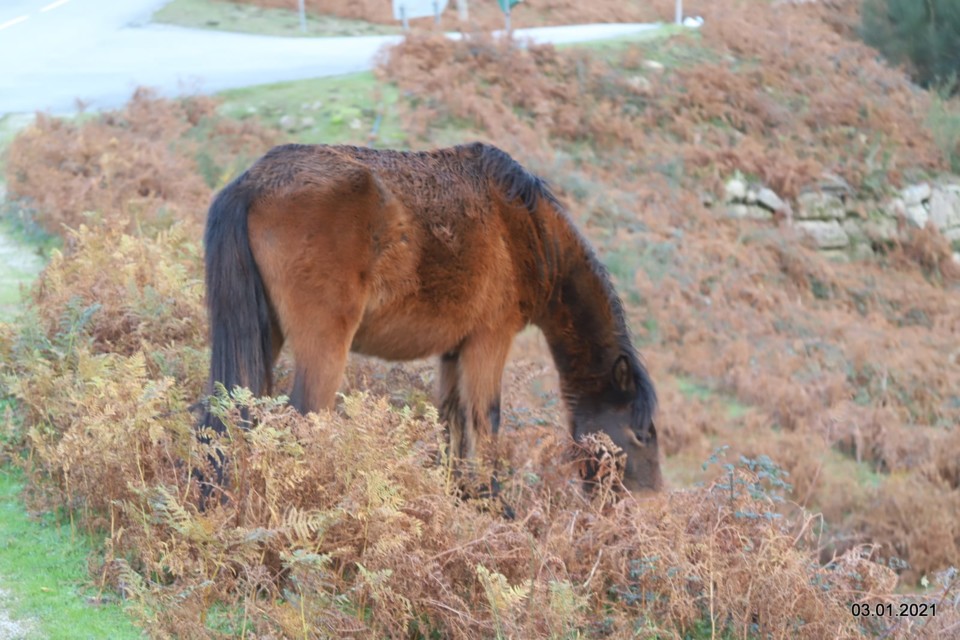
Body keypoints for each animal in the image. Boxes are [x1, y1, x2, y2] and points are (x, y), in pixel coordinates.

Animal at [199, 141, 662, 503]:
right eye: (639, 434)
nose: (648, 499)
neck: (524, 226)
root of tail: (253, 183)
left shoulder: (454, 351)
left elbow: (450, 420)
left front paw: (455, 491)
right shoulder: (489, 340)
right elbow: (487, 420)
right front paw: (495, 502)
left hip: (268, 335)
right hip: (324, 344)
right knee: (306, 417)